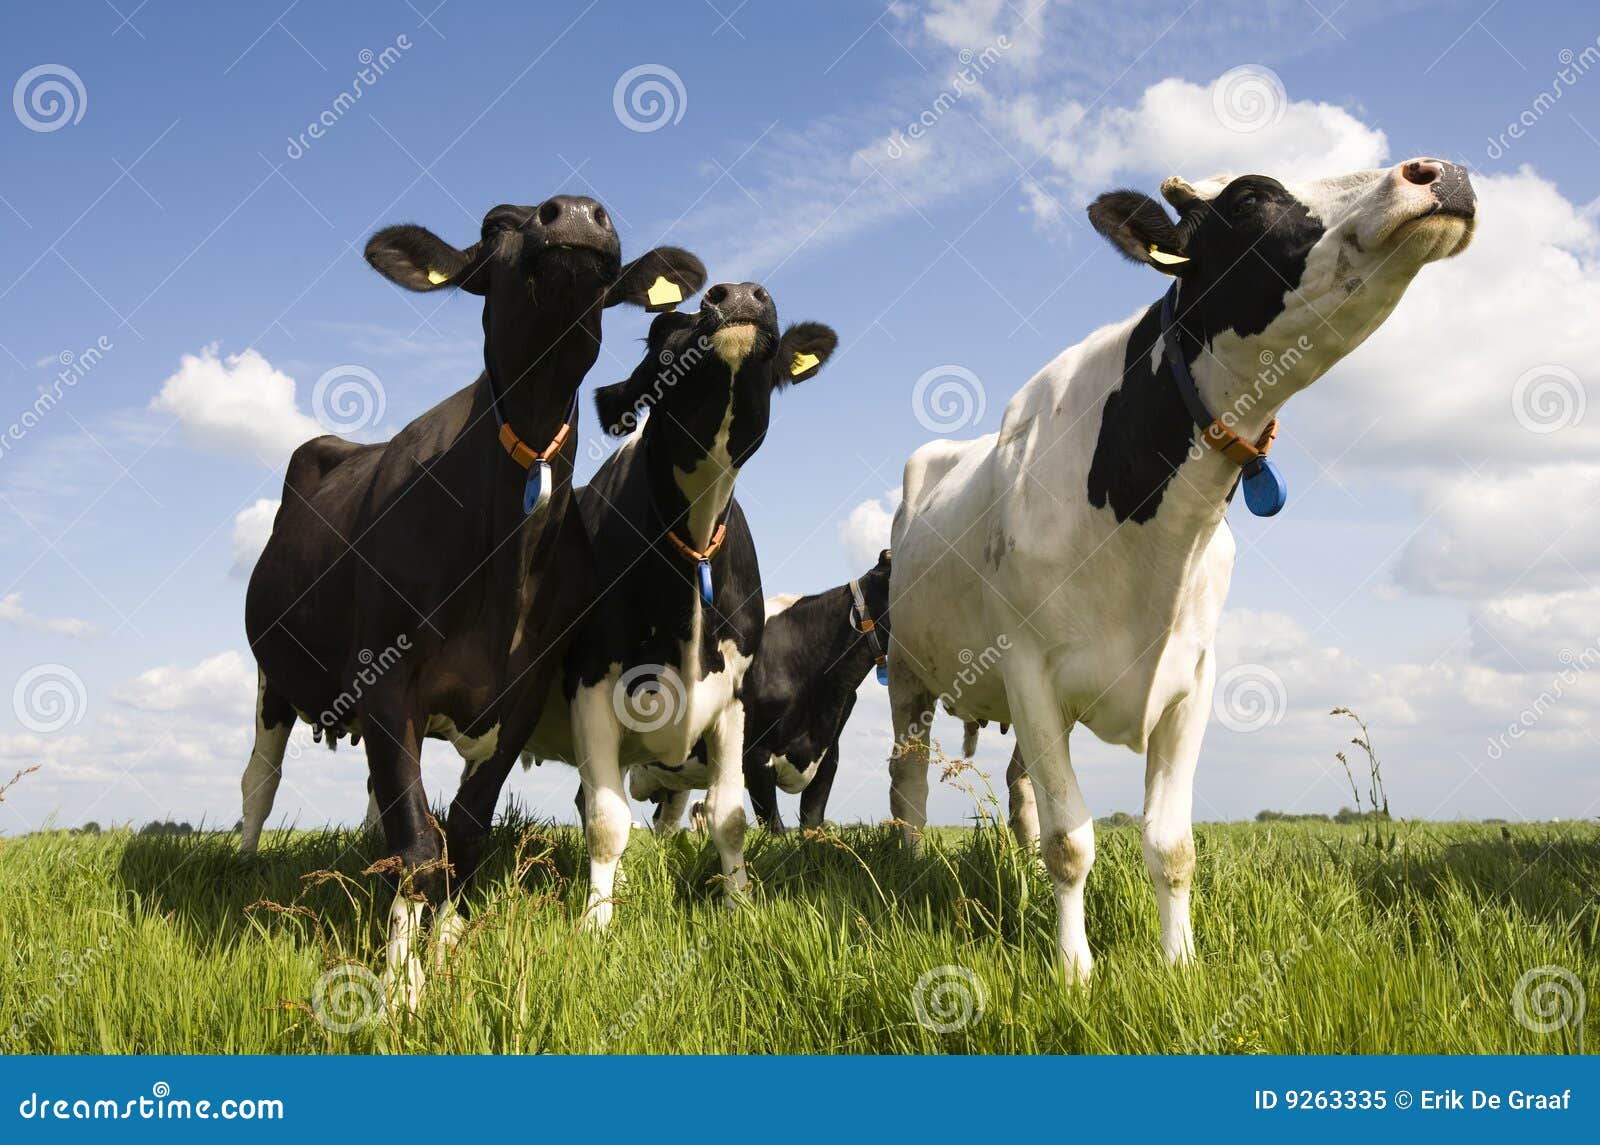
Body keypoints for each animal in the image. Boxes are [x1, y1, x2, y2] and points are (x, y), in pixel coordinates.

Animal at [240, 195, 705, 1004]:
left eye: (606, 222)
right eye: (495, 228)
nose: (574, 212)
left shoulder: (525, 688)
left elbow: (463, 829)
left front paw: (447, 939)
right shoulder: (384, 676)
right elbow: (420, 842)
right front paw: (402, 983)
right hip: (272, 675)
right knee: (259, 784)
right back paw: (236, 865)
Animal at [516, 283, 838, 928]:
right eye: (661, 331)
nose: (736, 294)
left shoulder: (734, 699)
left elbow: (728, 816)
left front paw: (740, 906)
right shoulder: (591, 683)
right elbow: (607, 820)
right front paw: (596, 921)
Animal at [632, 550, 893, 833]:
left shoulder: (827, 756)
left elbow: (812, 823)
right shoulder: (755, 754)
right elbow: (774, 828)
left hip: (675, 777)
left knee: (664, 823)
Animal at [884, 159, 1475, 982]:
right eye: (1250, 197)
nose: (1438, 172)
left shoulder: (1191, 677)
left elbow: (1170, 844)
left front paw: (1180, 965)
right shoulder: (1029, 667)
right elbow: (1072, 841)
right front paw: (1075, 971)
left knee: (1019, 790)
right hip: (907, 670)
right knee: (907, 781)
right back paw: (910, 866)